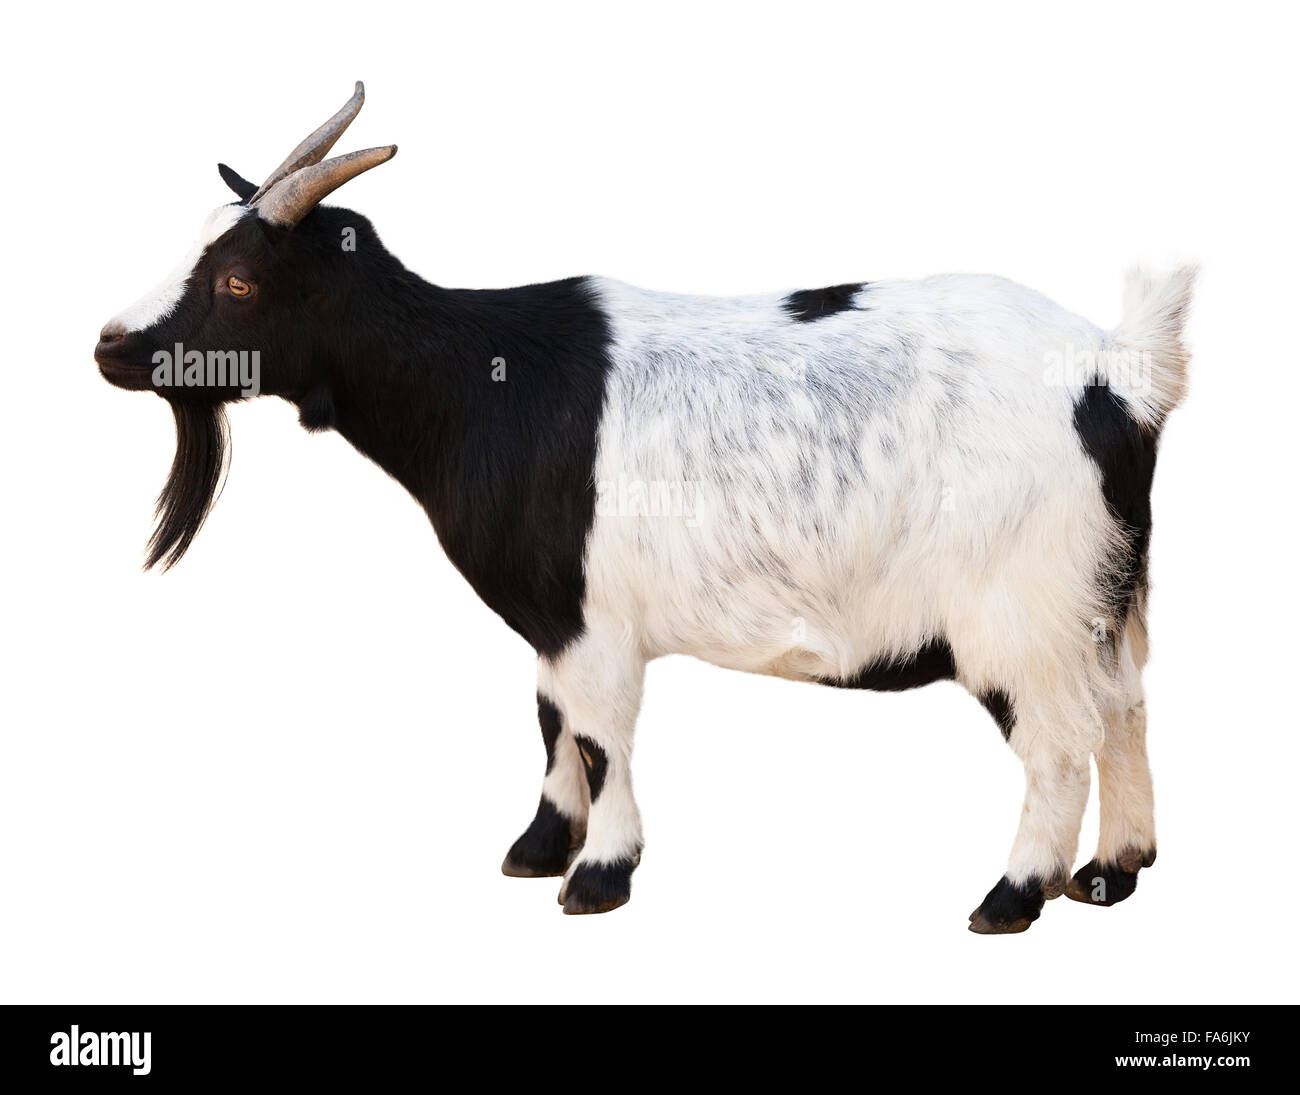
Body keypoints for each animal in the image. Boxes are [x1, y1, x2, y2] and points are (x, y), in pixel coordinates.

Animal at [95, 83, 1194, 930]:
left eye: (241, 280)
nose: (111, 345)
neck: (479, 384)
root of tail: (1116, 375)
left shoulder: (595, 623)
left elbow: (596, 734)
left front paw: (596, 877)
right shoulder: (554, 615)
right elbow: (549, 721)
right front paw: (539, 845)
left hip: (1017, 610)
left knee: (1059, 741)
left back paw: (1013, 895)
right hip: (1106, 593)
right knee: (1127, 706)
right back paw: (1114, 871)